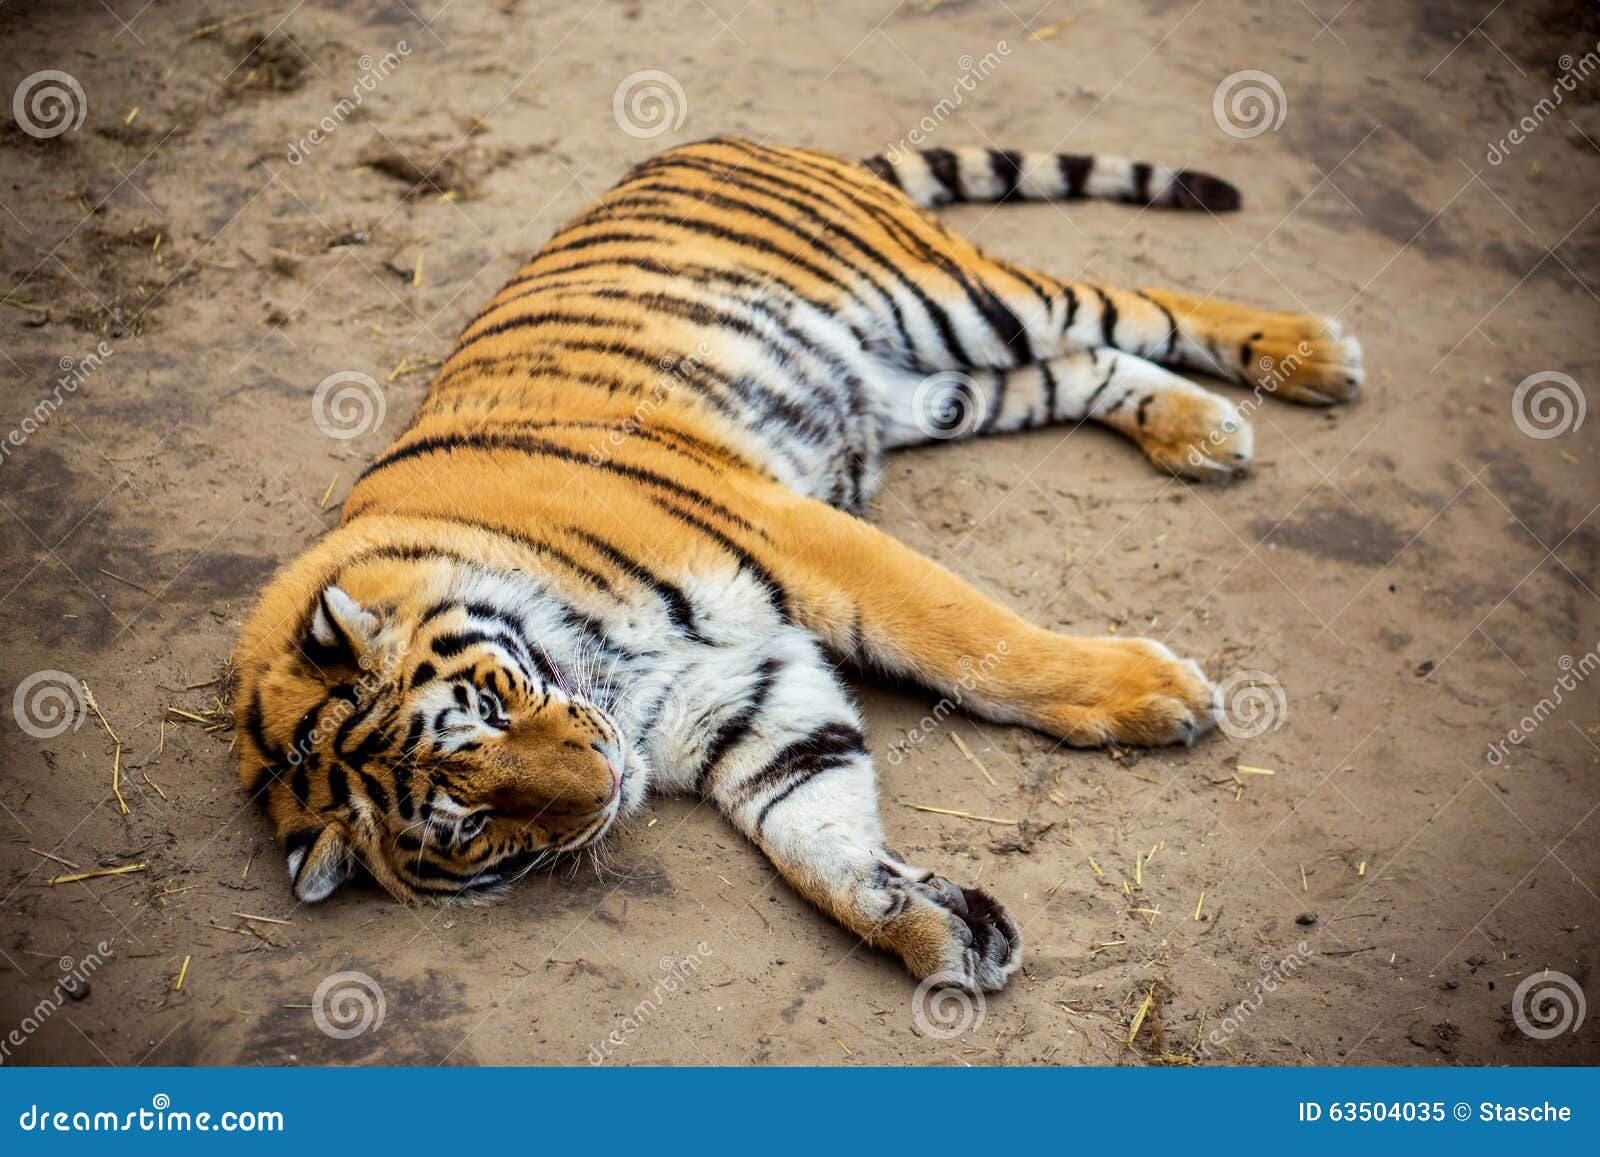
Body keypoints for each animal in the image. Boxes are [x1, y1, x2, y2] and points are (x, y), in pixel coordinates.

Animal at [233, 138, 1363, 994]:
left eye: (492, 705)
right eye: (470, 826)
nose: (606, 781)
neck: (606, 677)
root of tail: (722, 140)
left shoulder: (794, 533)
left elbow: (977, 640)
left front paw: (1151, 692)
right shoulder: (748, 698)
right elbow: (815, 830)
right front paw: (929, 926)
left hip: (953, 296)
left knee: (1131, 301)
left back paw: (1307, 354)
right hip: (929, 388)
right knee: (1084, 365)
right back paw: (1198, 428)